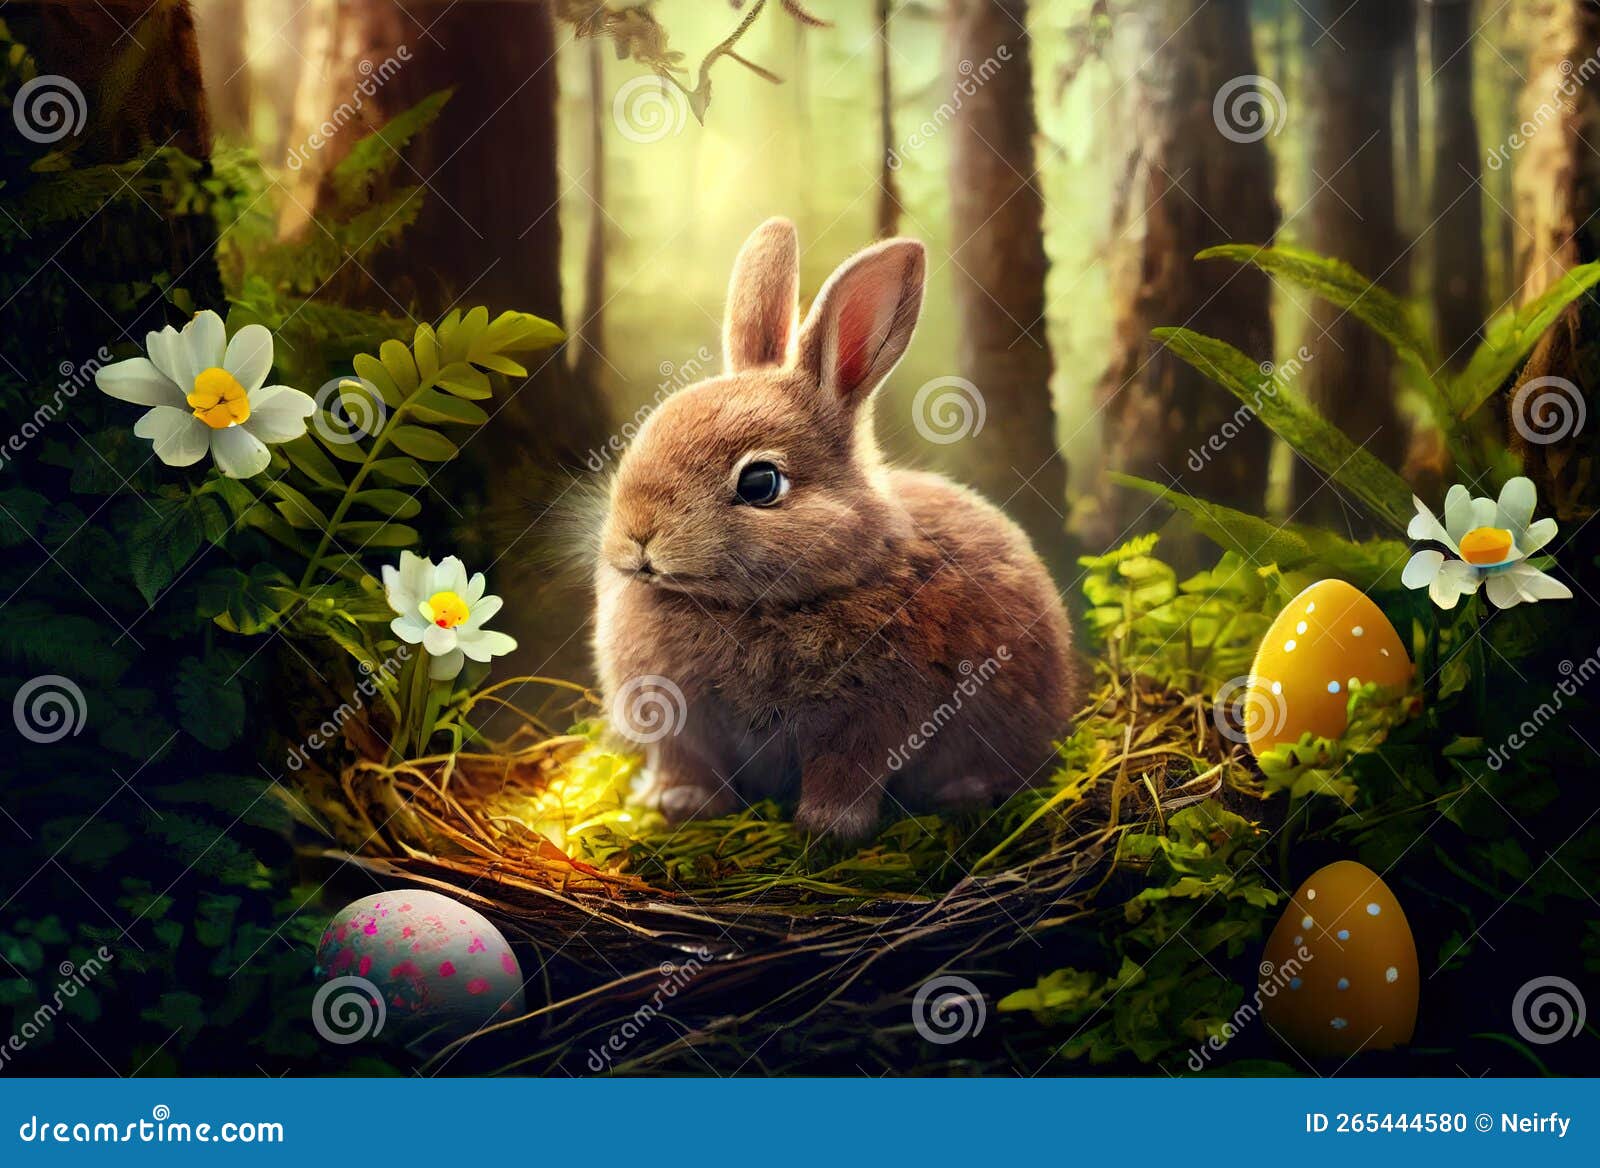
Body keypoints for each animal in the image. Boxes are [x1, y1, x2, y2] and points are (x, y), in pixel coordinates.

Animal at [593, 217, 1080, 841]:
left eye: (760, 483)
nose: (638, 539)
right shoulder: (676, 716)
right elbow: (687, 759)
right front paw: (677, 802)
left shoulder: (874, 715)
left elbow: (847, 770)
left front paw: (827, 826)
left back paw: (966, 793)